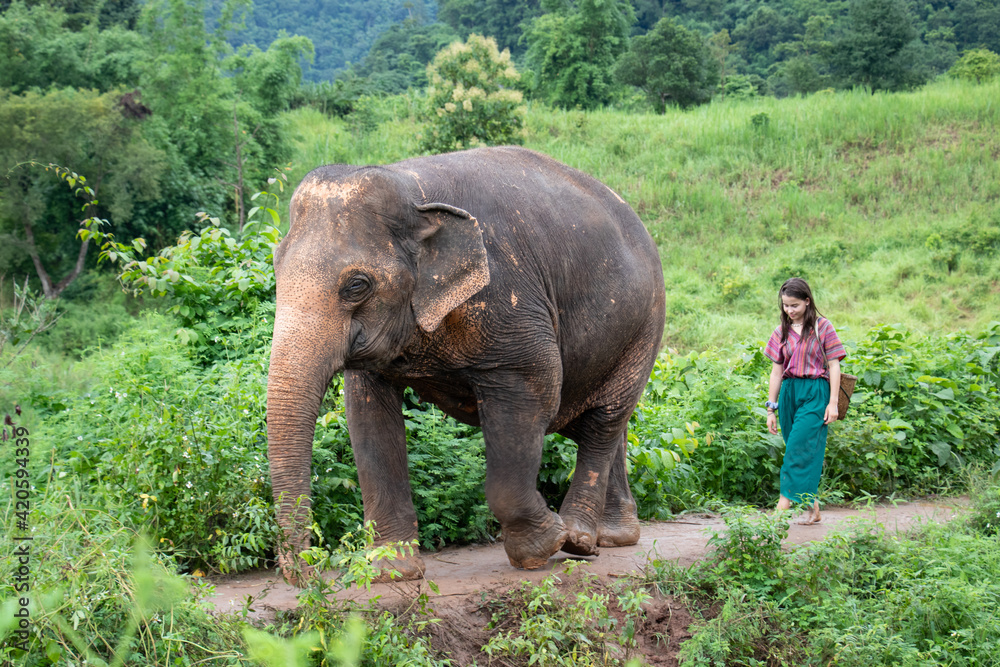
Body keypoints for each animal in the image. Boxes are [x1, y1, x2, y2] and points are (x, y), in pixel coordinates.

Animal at [266, 146, 665, 581]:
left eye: (357, 285)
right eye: (276, 269)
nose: (308, 572)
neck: (413, 191)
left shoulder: (510, 302)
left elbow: (534, 388)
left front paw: (541, 549)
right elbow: (368, 417)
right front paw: (393, 570)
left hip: (645, 325)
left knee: (602, 422)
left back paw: (577, 539)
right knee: (606, 424)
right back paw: (613, 537)